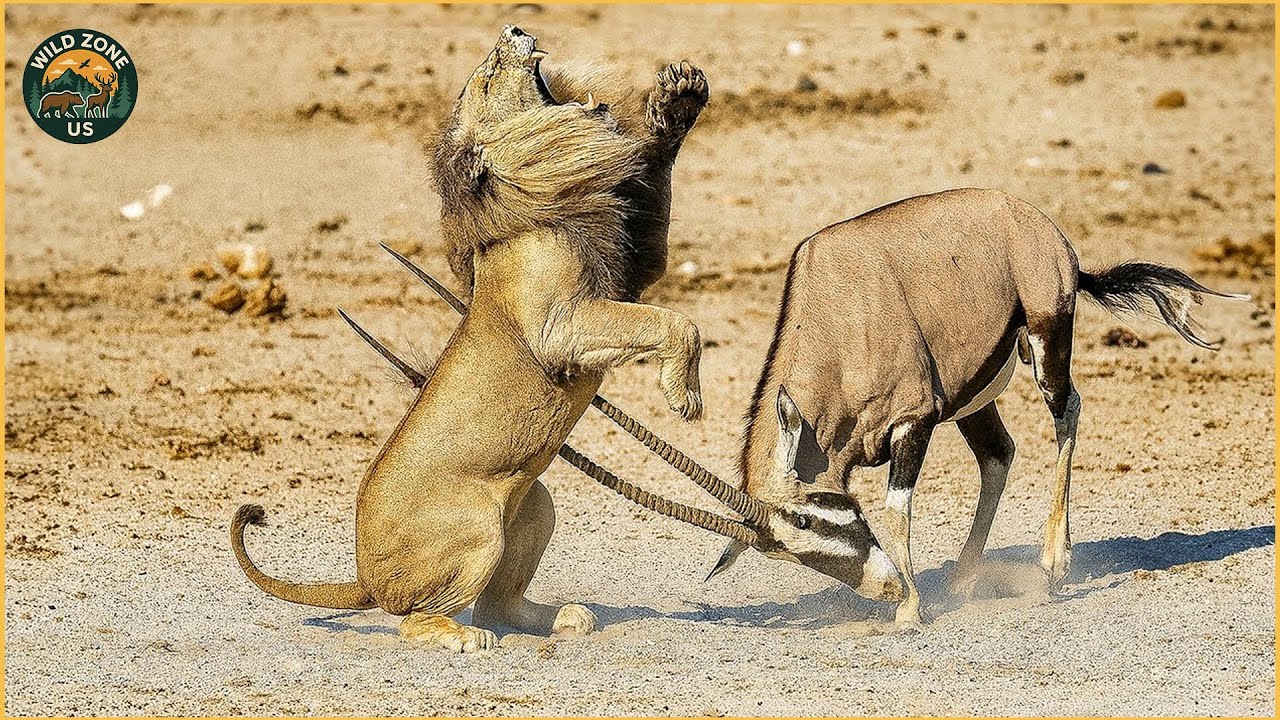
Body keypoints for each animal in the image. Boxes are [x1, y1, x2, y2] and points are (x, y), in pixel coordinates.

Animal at [232, 25, 709, 652]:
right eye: (483, 80)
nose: (514, 30)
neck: (544, 171)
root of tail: (364, 576)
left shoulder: (631, 267)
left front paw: (679, 100)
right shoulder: (563, 327)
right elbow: (673, 323)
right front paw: (684, 396)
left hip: (535, 504)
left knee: (497, 604)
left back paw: (565, 618)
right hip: (479, 526)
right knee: (415, 618)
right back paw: (459, 636)